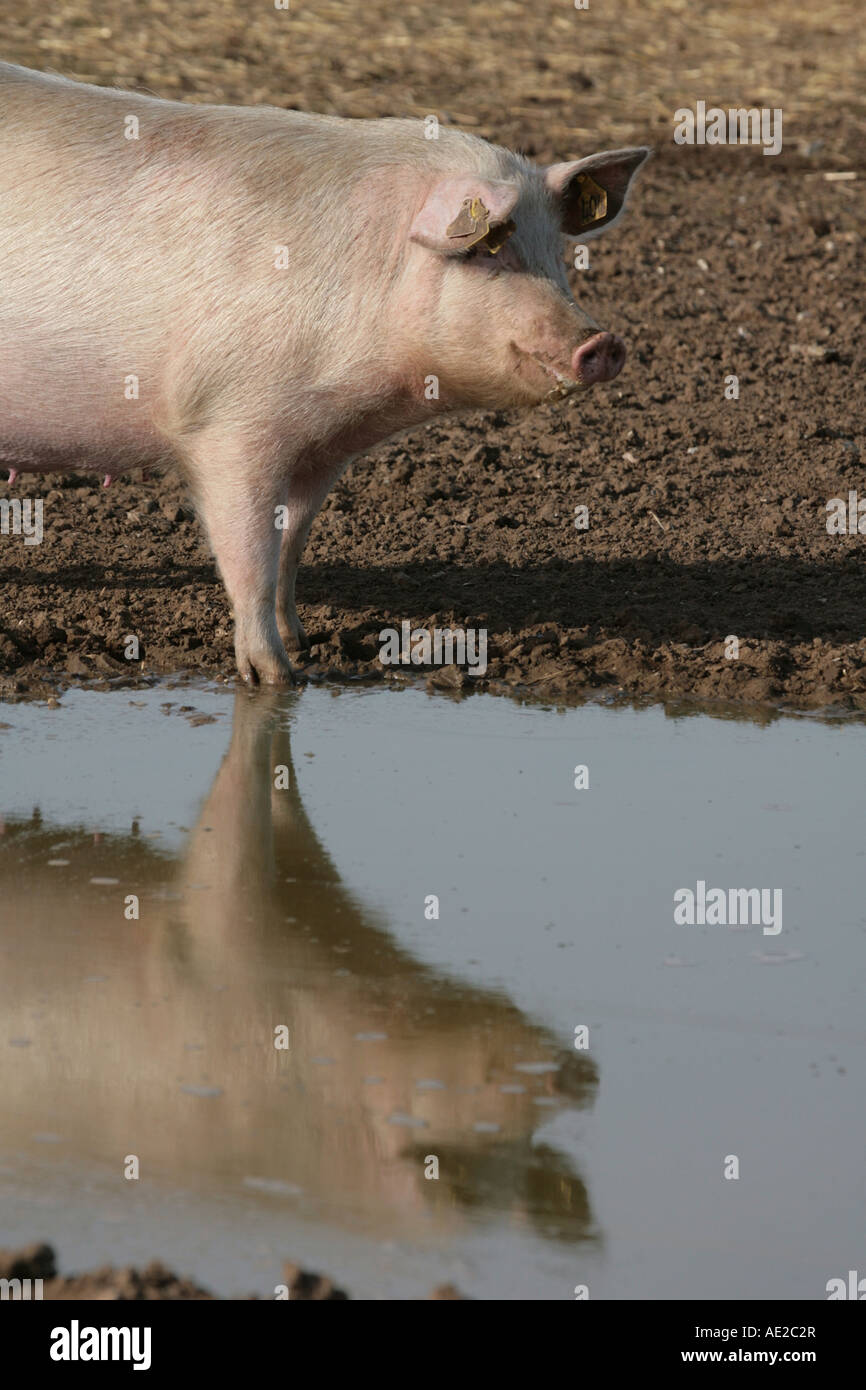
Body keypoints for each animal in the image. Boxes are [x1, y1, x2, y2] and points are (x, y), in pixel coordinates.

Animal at [0, 62, 649, 684]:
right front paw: (276, 677)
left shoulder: (324, 446)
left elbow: (292, 546)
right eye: (488, 249)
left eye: (555, 252)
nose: (604, 342)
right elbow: (250, 556)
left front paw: (304, 644)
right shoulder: (227, 426)